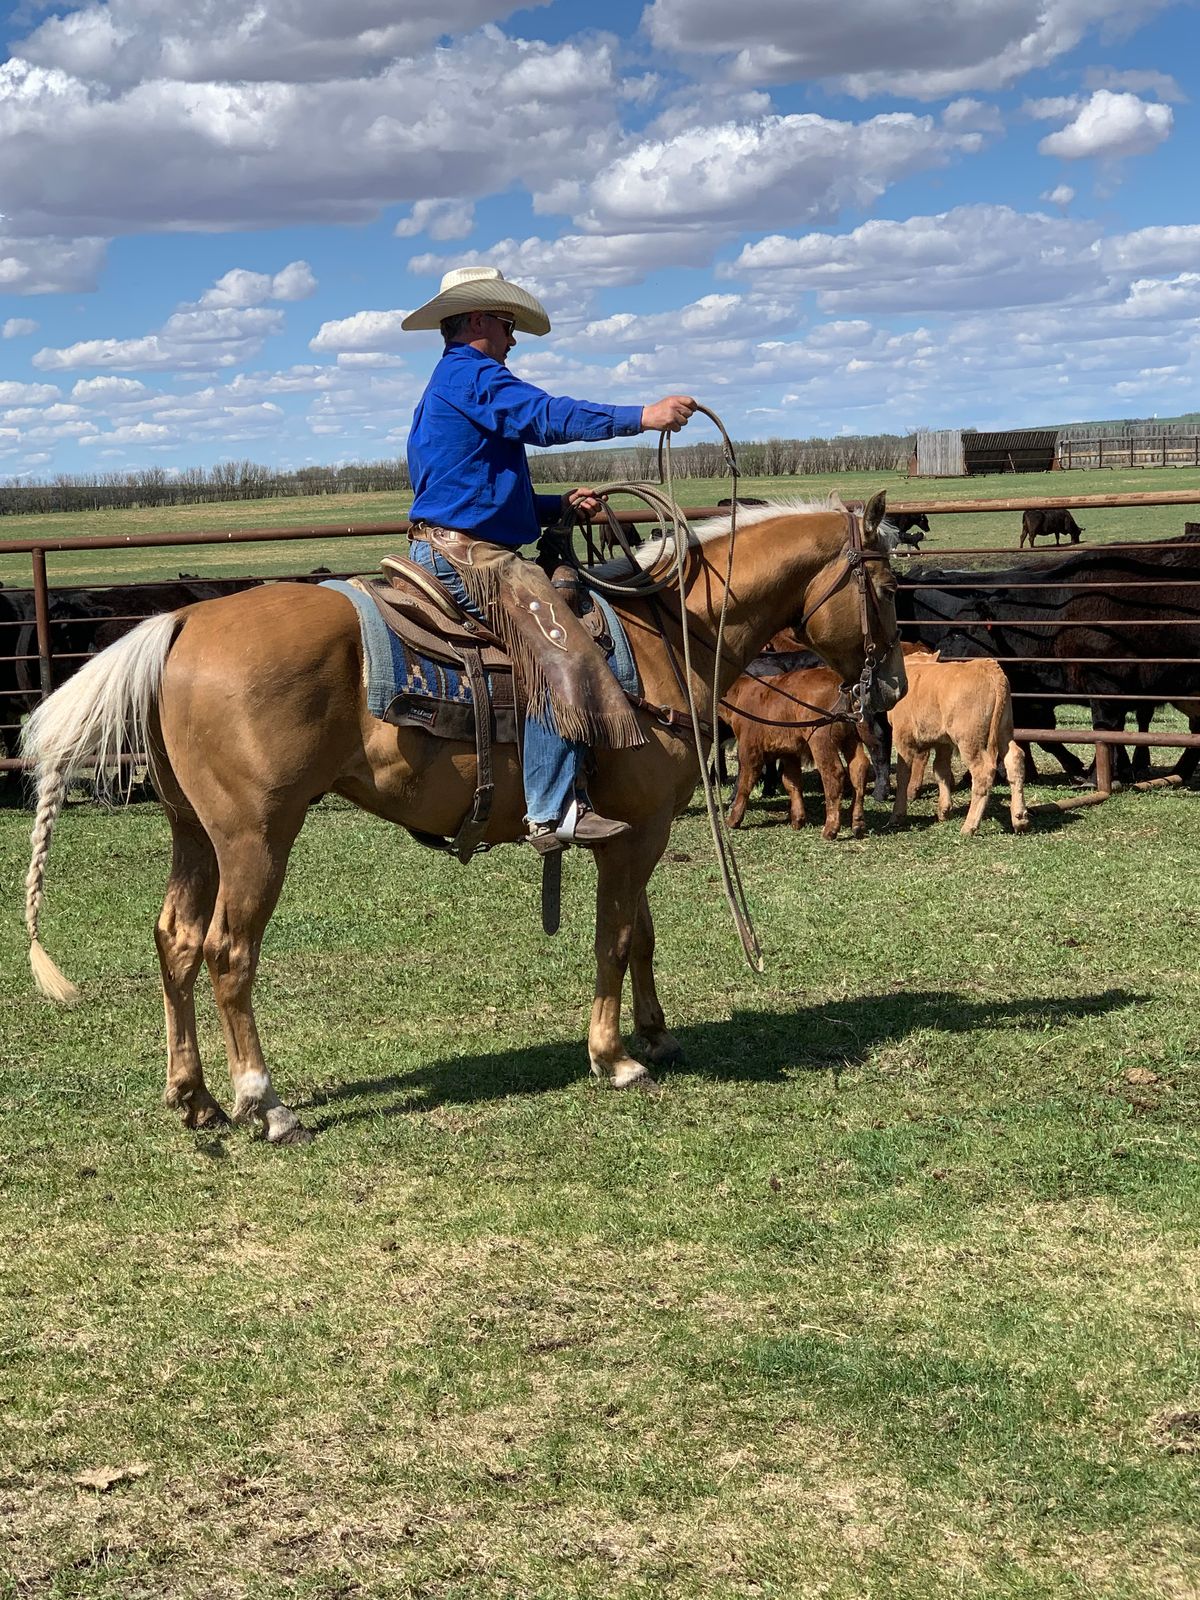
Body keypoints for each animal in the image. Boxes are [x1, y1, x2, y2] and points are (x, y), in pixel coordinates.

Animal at [22, 494, 905, 1142]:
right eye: (890, 588)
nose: (893, 687)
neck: (665, 634)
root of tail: (181, 623)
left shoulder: (637, 826)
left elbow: (642, 934)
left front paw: (656, 1034)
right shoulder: (639, 829)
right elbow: (616, 938)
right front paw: (615, 1057)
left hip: (194, 833)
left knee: (174, 941)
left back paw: (195, 1098)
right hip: (255, 836)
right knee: (227, 954)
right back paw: (265, 1105)